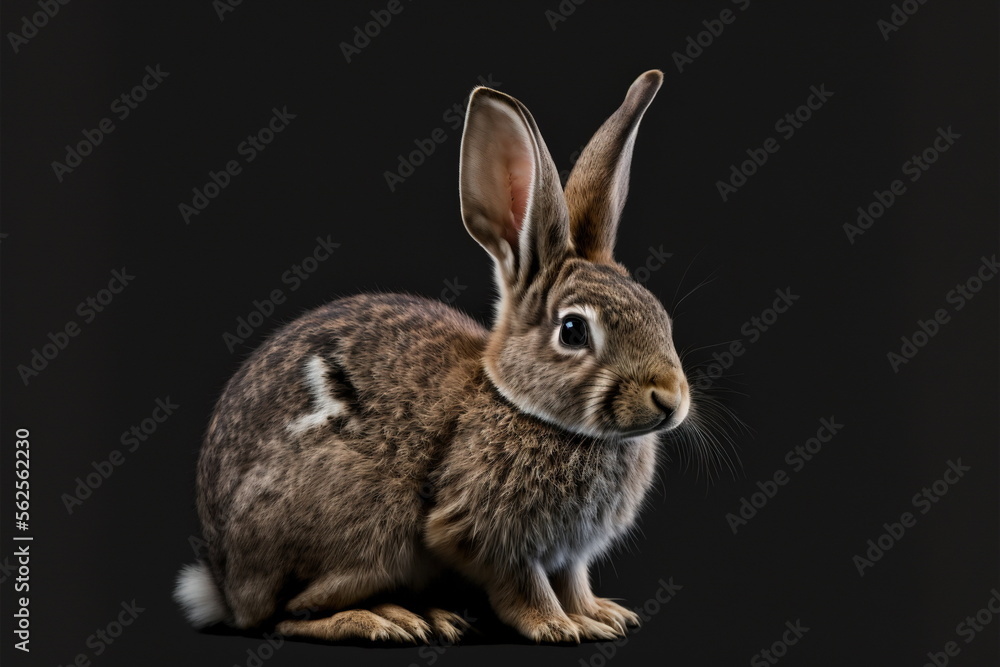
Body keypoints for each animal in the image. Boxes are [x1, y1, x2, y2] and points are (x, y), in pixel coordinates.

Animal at [174, 68, 691, 644]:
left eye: (660, 316)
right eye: (574, 330)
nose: (669, 399)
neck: (522, 405)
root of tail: (226, 586)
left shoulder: (571, 554)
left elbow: (574, 579)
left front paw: (601, 616)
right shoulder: (482, 532)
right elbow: (524, 582)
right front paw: (557, 627)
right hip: (367, 525)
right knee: (287, 614)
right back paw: (388, 620)